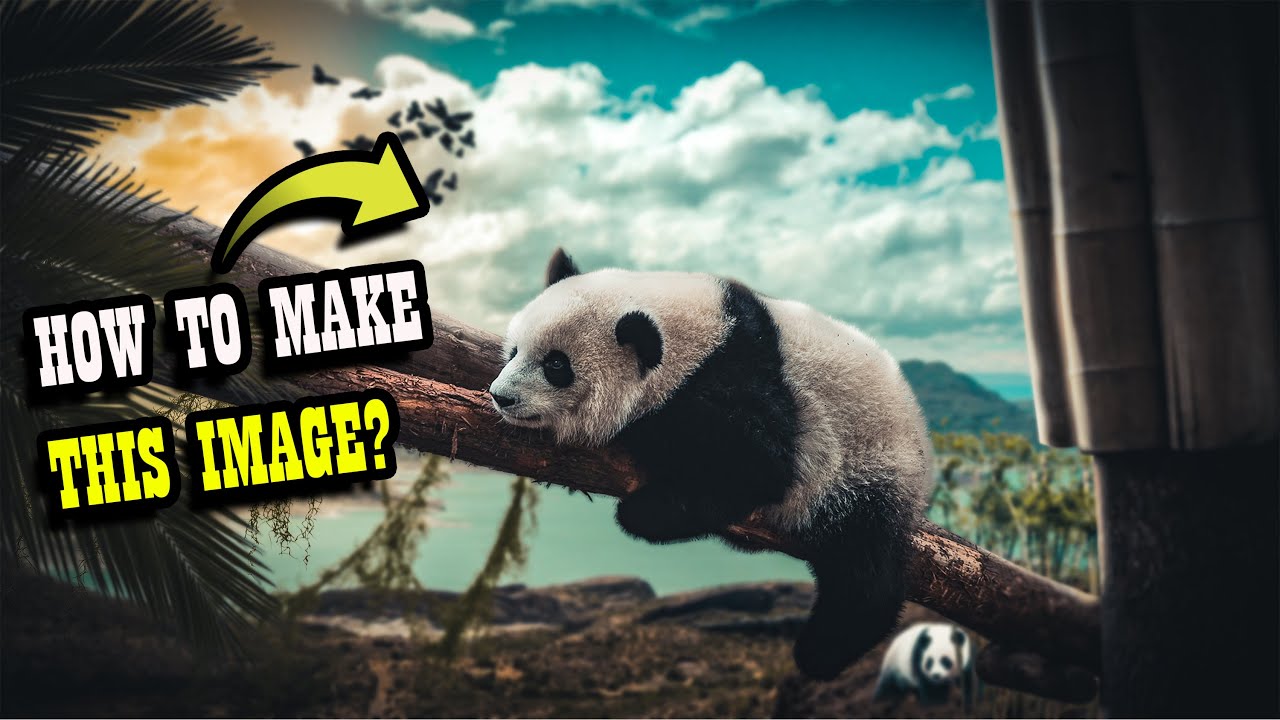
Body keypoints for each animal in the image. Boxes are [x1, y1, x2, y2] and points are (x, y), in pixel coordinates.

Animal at [488, 248, 934, 680]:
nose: (501, 396)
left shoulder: (735, 382)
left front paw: (643, 504)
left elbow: (758, 468)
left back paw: (822, 652)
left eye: (556, 364)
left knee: (863, 567)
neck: (700, 336)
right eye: (514, 351)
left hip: (866, 466)